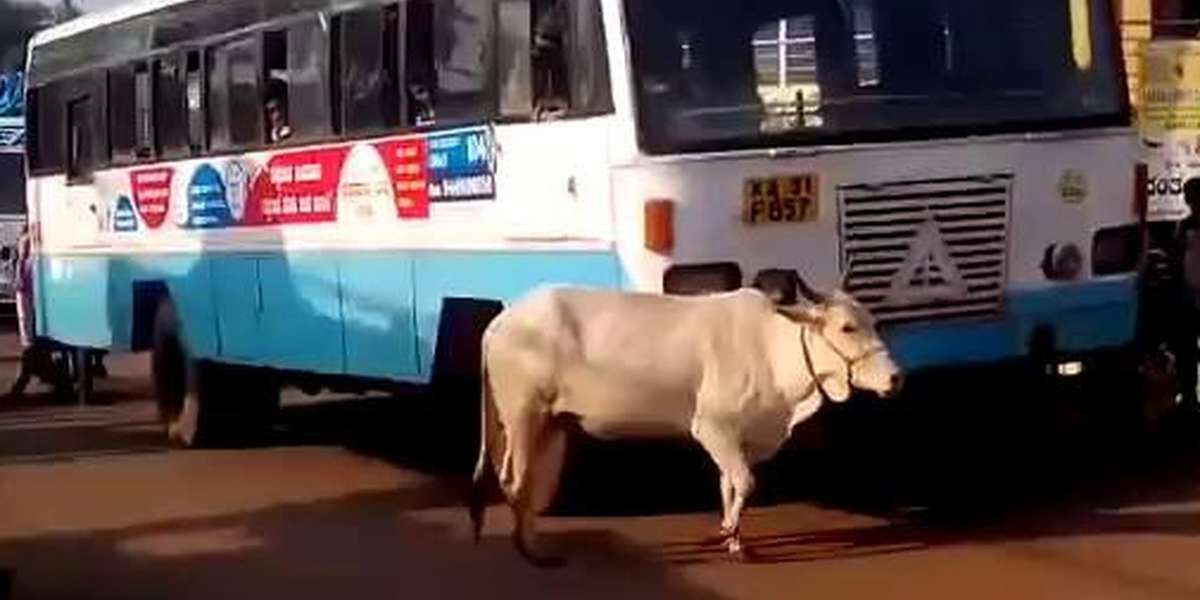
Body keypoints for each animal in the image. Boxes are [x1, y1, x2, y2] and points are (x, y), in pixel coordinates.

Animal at [467, 275, 902, 567]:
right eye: (847, 327)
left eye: (873, 322)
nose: (896, 378)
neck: (773, 348)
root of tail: (500, 322)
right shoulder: (713, 427)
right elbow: (746, 482)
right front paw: (728, 534)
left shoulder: (740, 438)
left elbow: (730, 485)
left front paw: (735, 540)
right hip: (524, 416)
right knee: (516, 480)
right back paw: (530, 553)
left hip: (550, 424)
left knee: (523, 482)